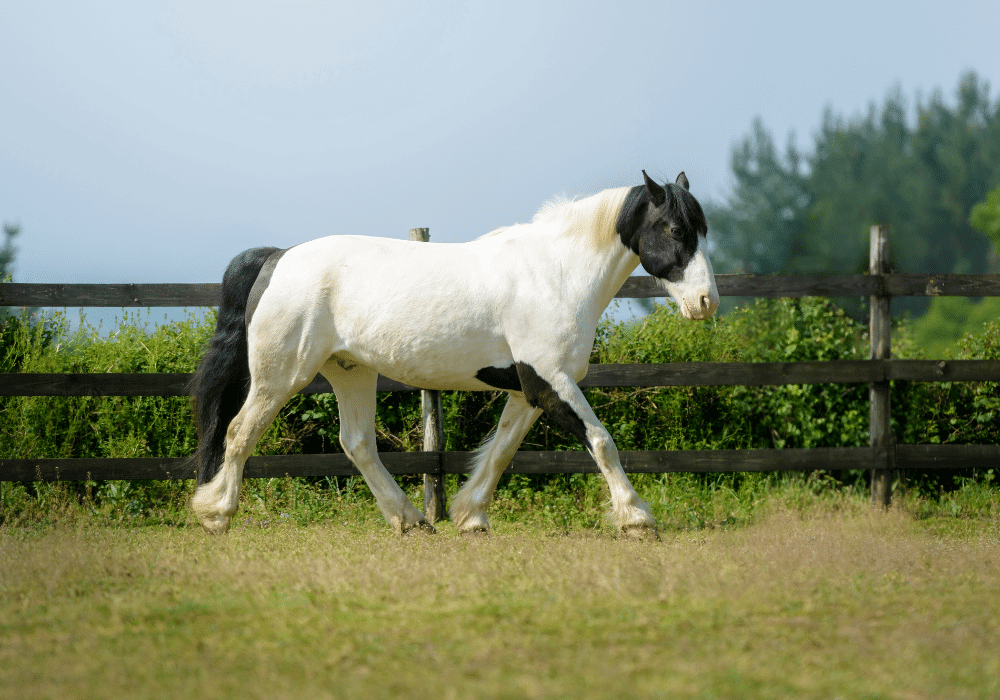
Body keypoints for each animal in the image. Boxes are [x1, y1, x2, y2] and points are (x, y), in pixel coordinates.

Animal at [188, 171, 719, 537]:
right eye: (675, 230)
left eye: (702, 230)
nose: (706, 302)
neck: (557, 273)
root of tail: (278, 257)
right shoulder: (550, 382)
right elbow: (601, 440)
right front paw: (637, 518)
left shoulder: (530, 390)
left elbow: (502, 451)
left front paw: (470, 517)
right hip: (280, 376)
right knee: (239, 432)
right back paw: (215, 514)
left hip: (350, 371)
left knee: (357, 444)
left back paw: (410, 520)